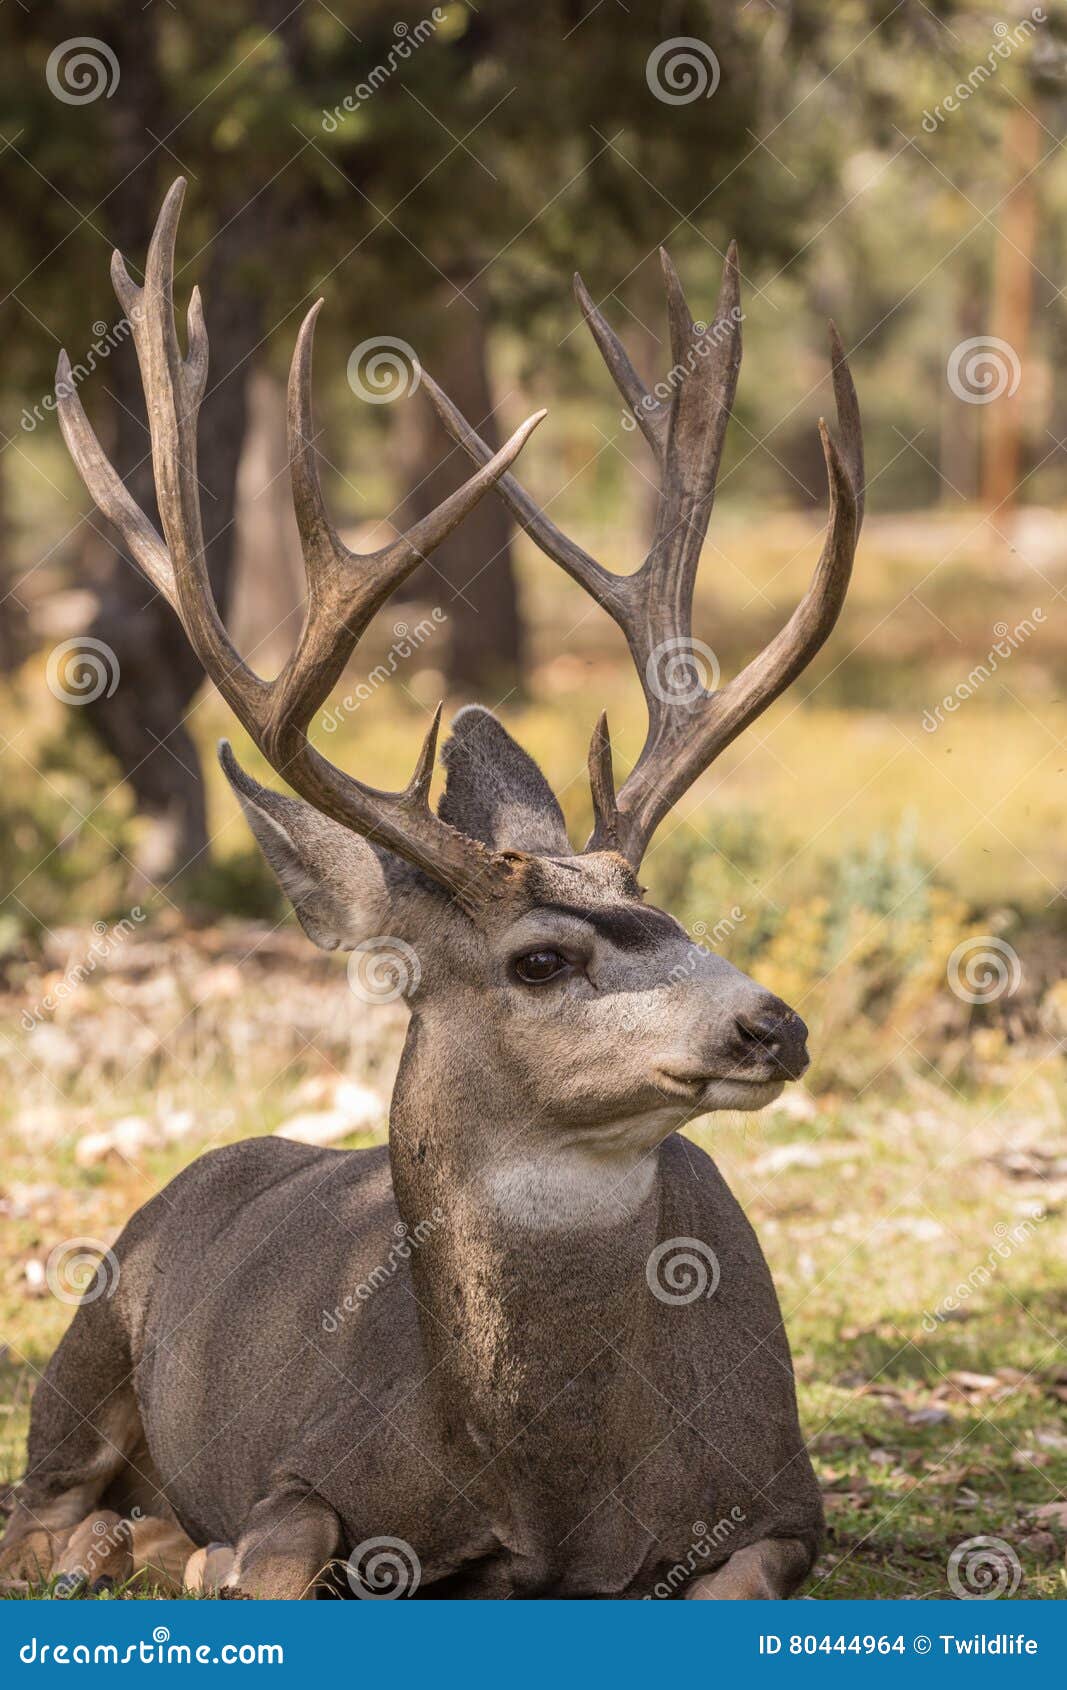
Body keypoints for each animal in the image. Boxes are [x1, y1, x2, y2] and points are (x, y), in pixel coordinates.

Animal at [1, 180, 862, 1600]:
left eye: (672, 913)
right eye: (540, 957)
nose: (770, 1023)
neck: (550, 1491)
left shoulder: (782, 1501)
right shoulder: (308, 1460)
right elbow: (274, 1558)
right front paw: (213, 1557)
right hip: (85, 1326)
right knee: (39, 1515)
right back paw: (126, 1538)